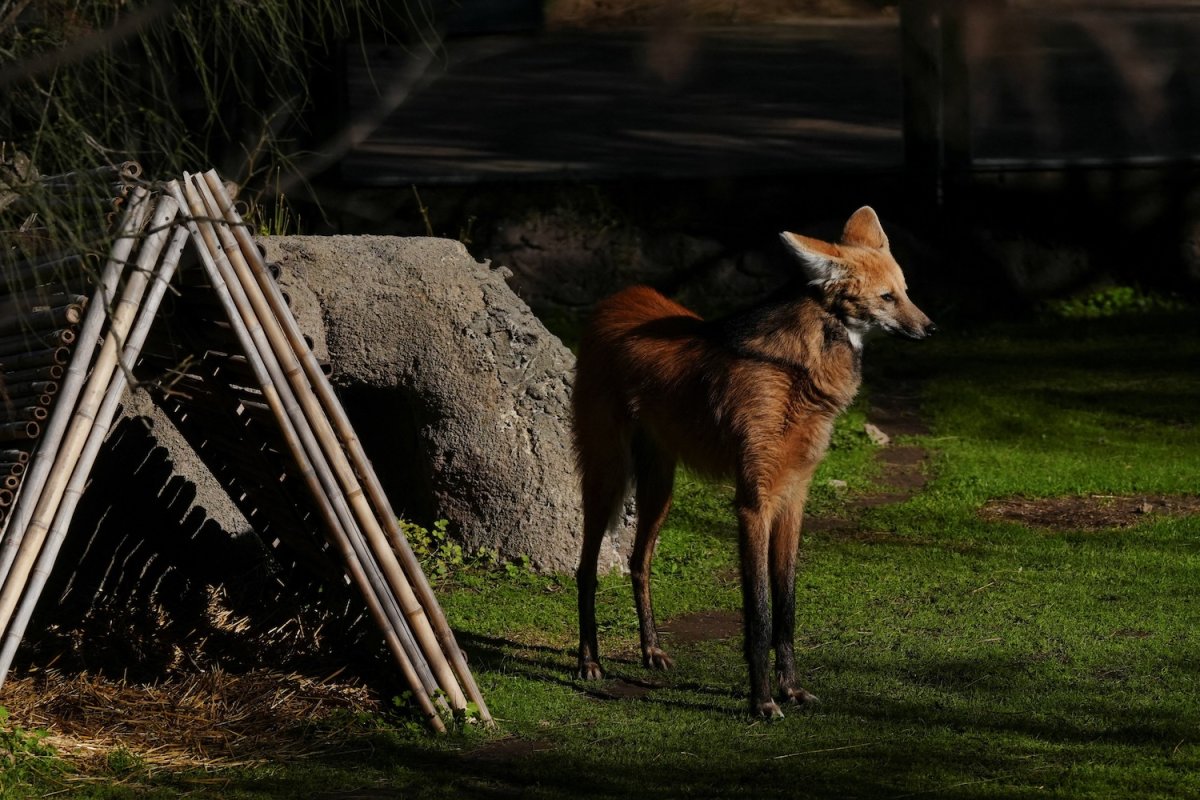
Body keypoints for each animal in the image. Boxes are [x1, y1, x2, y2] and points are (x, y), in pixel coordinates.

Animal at [572, 206, 935, 717]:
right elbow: (760, 610)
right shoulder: (754, 502)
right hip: (608, 471)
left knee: (639, 561)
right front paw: (762, 700)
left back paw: (652, 649)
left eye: (906, 290)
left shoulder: (793, 496)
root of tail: (617, 297)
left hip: (661, 484)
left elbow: (787, 604)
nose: (931, 327)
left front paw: (792, 689)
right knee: (586, 567)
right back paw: (589, 661)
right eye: (887, 296)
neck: (799, 374)